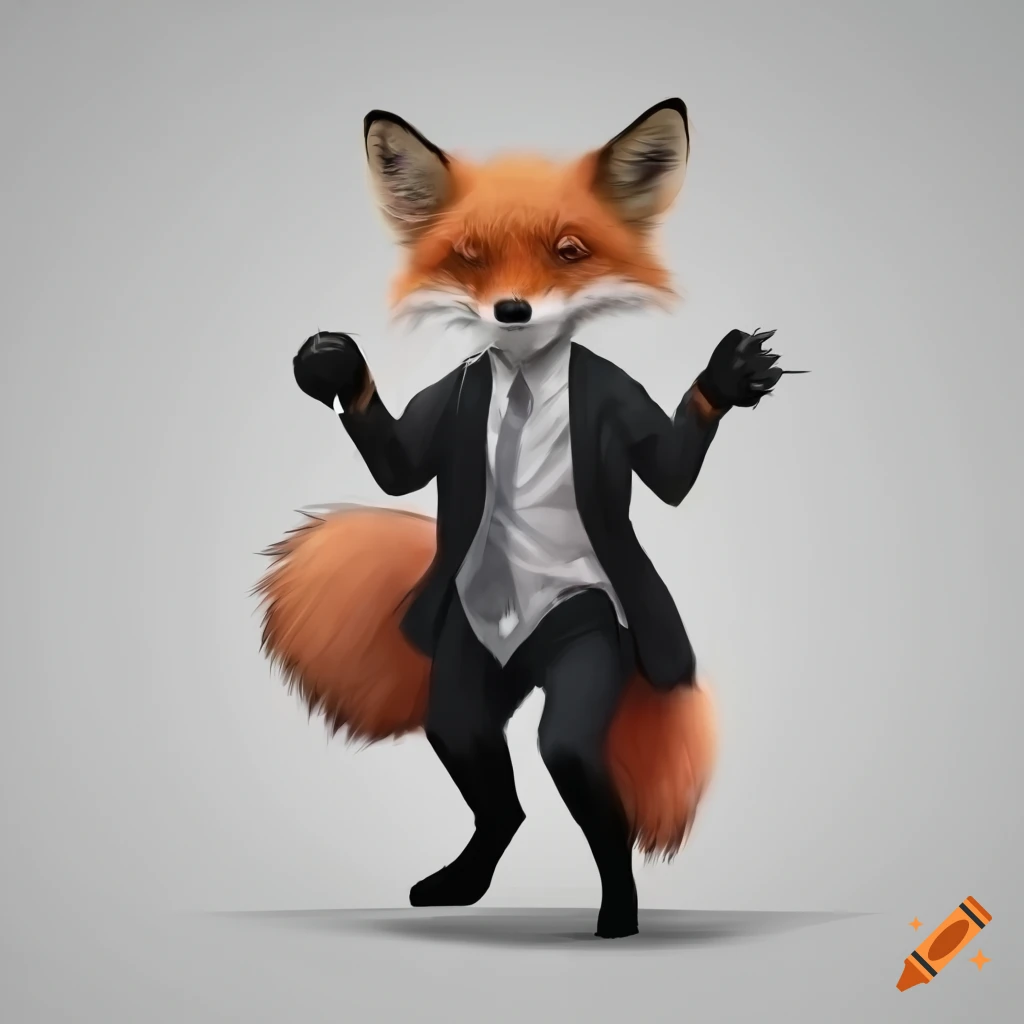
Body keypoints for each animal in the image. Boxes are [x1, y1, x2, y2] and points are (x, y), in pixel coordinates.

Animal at [256, 97, 794, 939]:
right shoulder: (448, 403)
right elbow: (401, 467)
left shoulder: (622, 409)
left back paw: (617, 912)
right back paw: (467, 877)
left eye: (567, 252)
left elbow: (670, 473)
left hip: (585, 648)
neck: (521, 377)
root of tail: (525, 655)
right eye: (469, 257)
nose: (511, 311)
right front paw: (335, 369)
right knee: (485, 773)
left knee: (566, 753)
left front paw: (726, 377)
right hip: (462, 674)